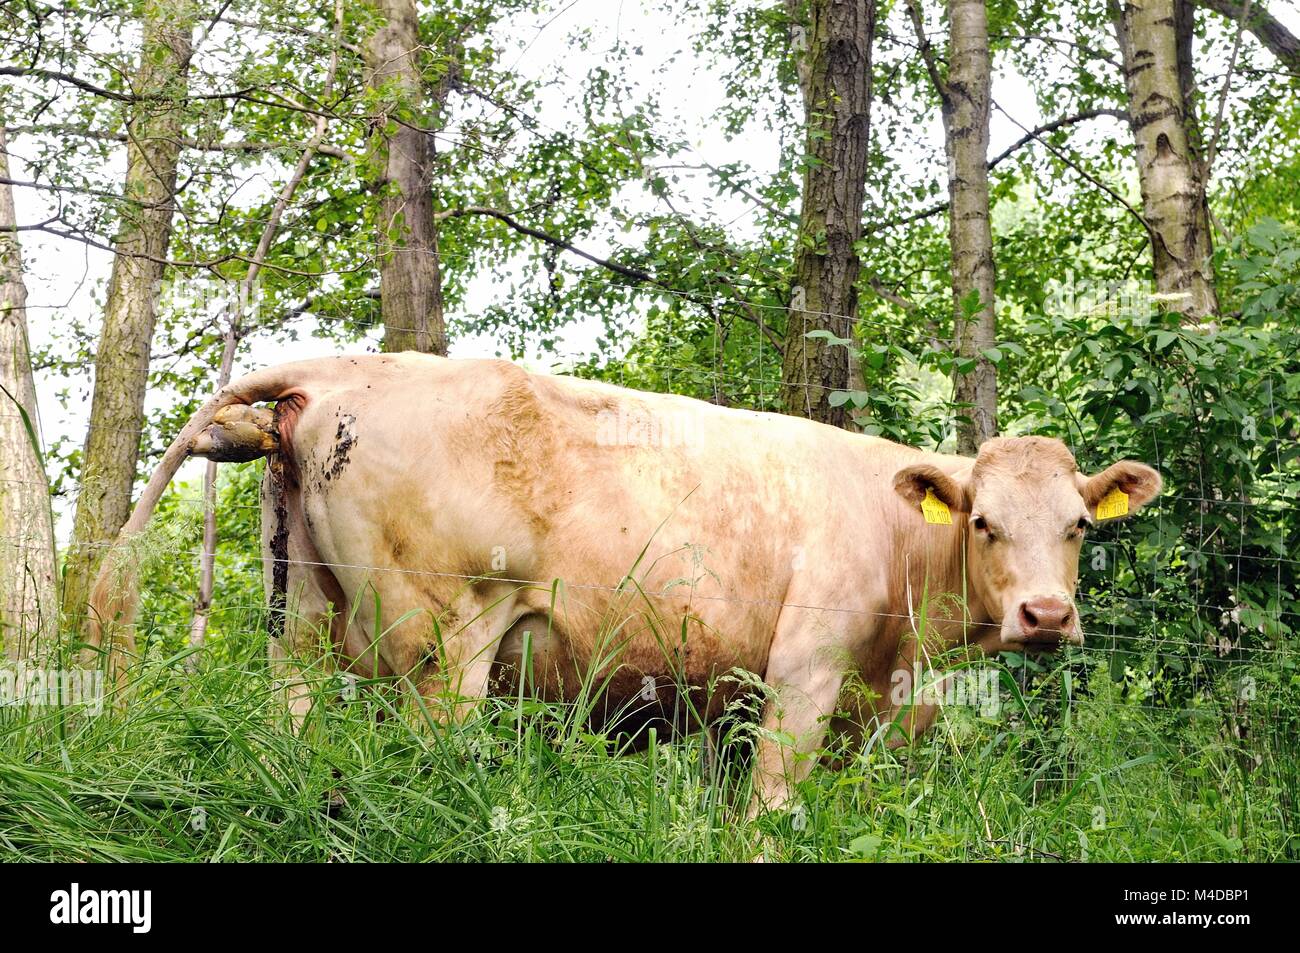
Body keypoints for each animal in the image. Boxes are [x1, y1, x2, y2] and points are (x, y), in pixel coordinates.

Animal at [86, 353, 1161, 815]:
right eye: (983, 522)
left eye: (1077, 527)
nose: (1046, 613)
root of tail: (351, 367)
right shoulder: (803, 677)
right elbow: (773, 813)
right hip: (442, 645)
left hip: (301, 624)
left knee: (296, 731)